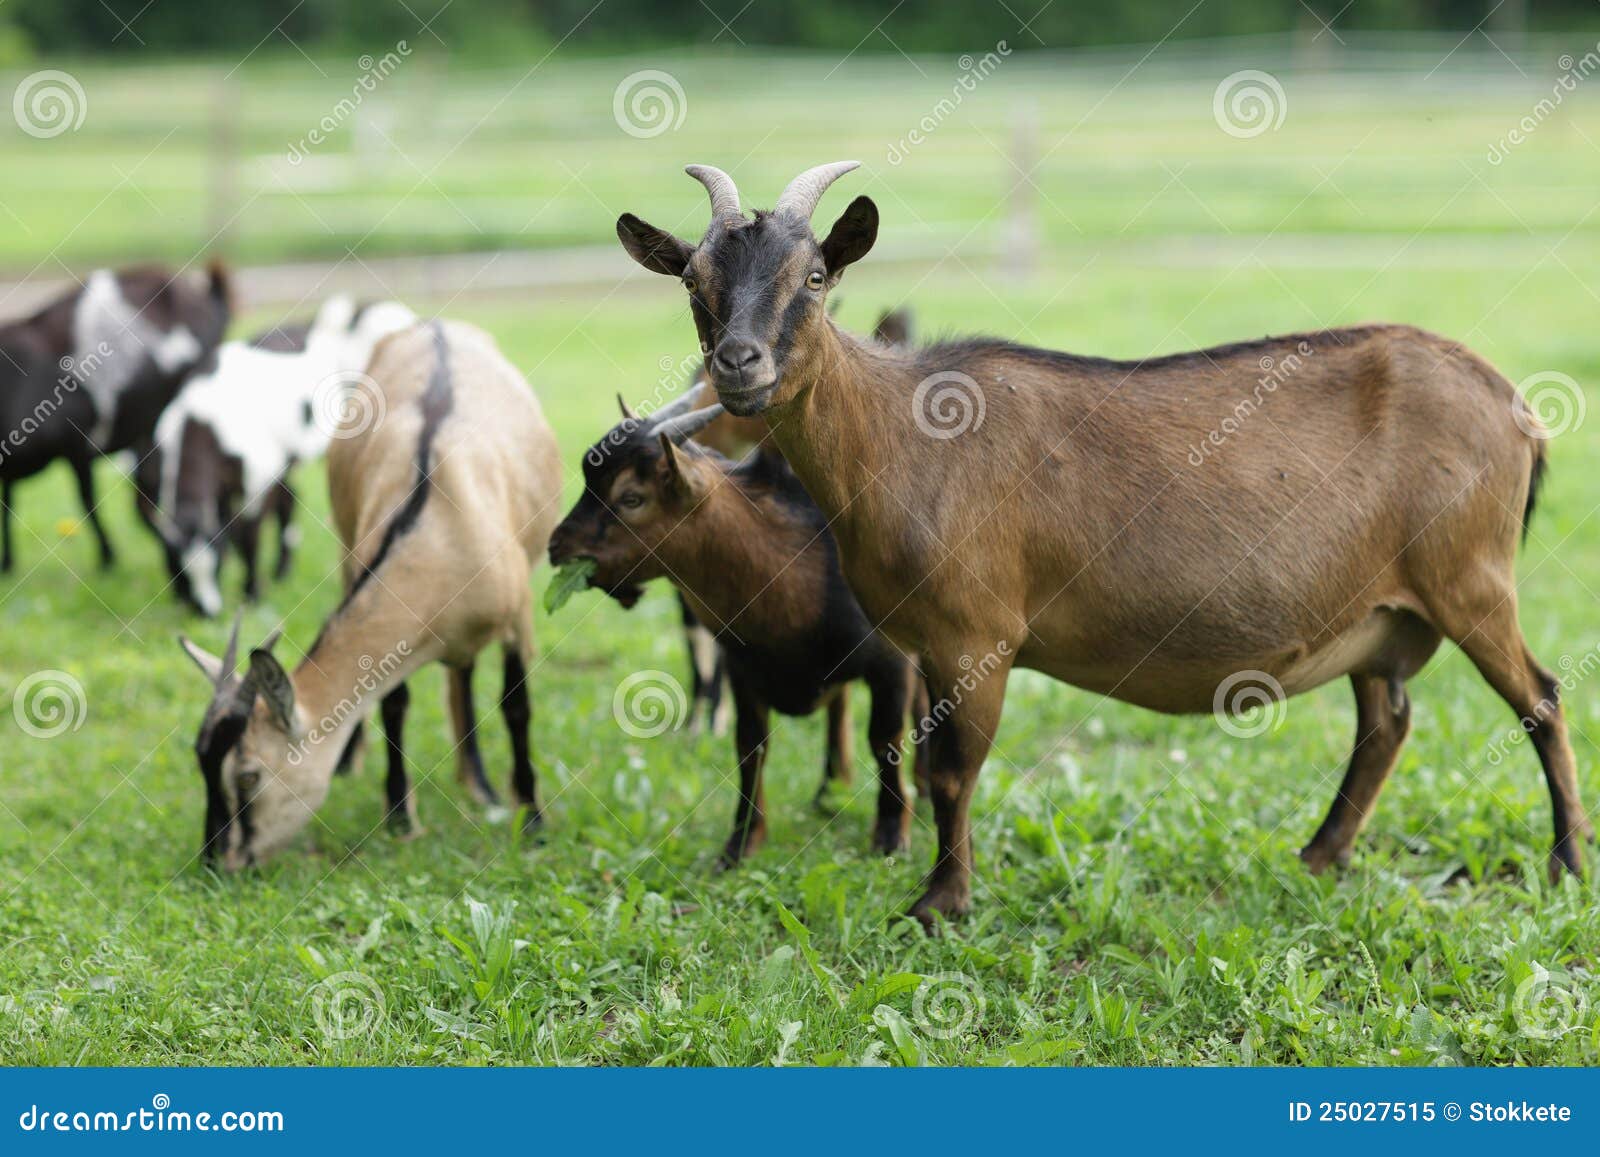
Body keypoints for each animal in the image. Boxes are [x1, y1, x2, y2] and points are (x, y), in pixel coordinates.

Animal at [139, 295, 417, 616]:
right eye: (177, 569)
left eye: (216, 564)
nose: (208, 611)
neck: (203, 425)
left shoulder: (257, 478)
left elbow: (247, 536)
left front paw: (251, 592)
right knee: (290, 499)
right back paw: (282, 570)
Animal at [178, 320, 562, 867]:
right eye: (201, 762)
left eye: (248, 775)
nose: (217, 862)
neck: (442, 527)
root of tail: (436, 325)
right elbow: (392, 704)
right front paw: (400, 815)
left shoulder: (519, 615)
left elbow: (516, 707)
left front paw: (531, 818)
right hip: (343, 544)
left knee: (464, 673)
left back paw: (480, 785)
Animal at [548, 388, 929, 864]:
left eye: (631, 498)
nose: (556, 546)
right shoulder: (741, 668)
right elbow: (751, 748)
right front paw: (742, 843)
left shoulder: (891, 661)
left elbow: (885, 740)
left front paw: (892, 834)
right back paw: (829, 790)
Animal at [617, 162, 1593, 926]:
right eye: (693, 281)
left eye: (816, 274)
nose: (740, 364)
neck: (901, 433)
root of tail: (1515, 406)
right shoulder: (925, 643)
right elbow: (929, 762)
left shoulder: (977, 632)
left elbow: (951, 770)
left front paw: (940, 904)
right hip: (1381, 610)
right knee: (1386, 719)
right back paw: (1321, 854)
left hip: (1471, 575)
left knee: (1541, 699)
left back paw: (1565, 863)